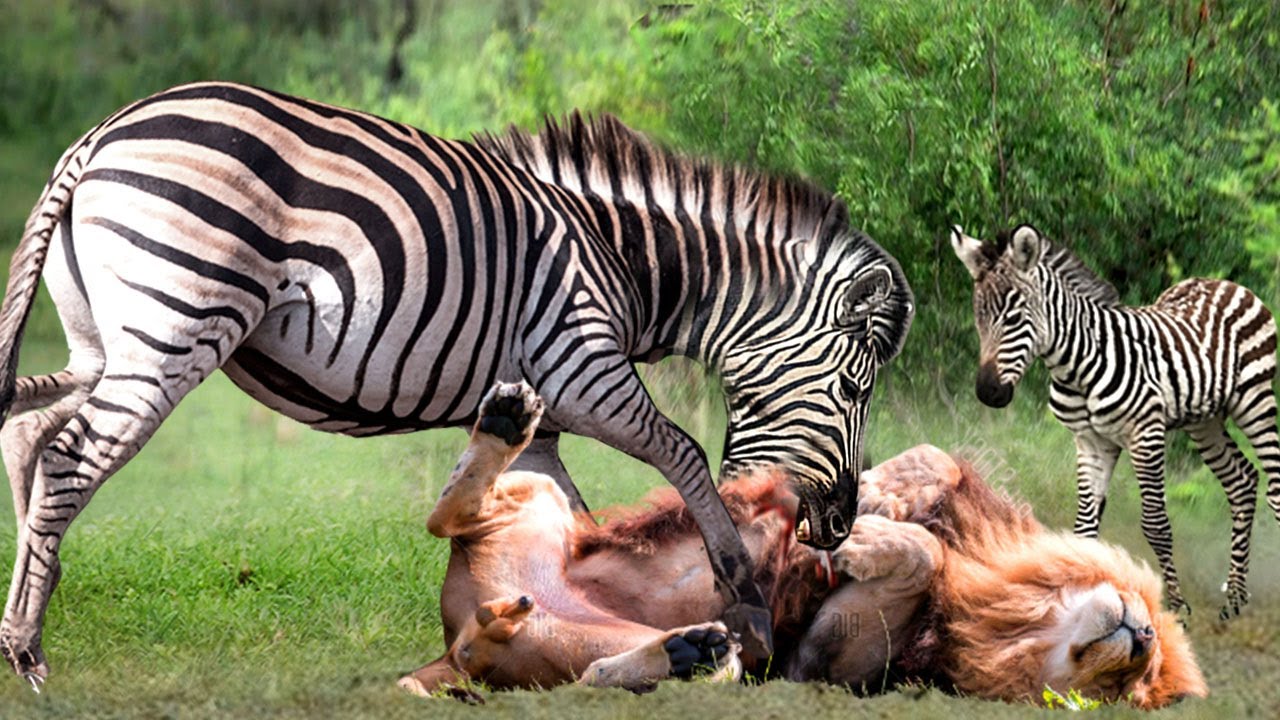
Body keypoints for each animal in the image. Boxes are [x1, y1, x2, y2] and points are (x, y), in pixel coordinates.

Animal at [0, 82, 914, 684]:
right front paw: (743, 601)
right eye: (854, 391)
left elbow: (566, 510)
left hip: (102, 342)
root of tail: (102, 134)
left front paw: (585, 603)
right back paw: (28, 647)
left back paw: (27, 610)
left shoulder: (539, 410)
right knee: (71, 456)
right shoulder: (582, 368)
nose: (839, 525)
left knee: (29, 433)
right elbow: (684, 454)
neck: (625, 258)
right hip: (176, 321)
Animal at [400, 381, 1206, 708]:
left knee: (593, 676)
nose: (1139, 638)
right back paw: (505, 420)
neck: (993, 607)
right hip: (541, 500)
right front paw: (876, 502)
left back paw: (688, 655)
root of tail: (463, 635)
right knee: (448, 517)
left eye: (1129, 689)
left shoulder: (816, 664)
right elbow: (929, 468)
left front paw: (862, 542)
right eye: (1143, 668)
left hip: (586, 637)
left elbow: (924, 558)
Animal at [950, 223, 1280, 619]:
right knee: (1241, 481)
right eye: (978, 316)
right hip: (1204, 420)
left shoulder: (1145, 433)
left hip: (1254, 398)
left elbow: (1156, 524)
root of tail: (1227, 283)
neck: (1076, 364)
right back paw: (1234, 596)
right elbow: (1084, 527)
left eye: (1014, 318)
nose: (989, 393)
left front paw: (1177, 608)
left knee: (1274, 486)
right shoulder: (1091, 442)